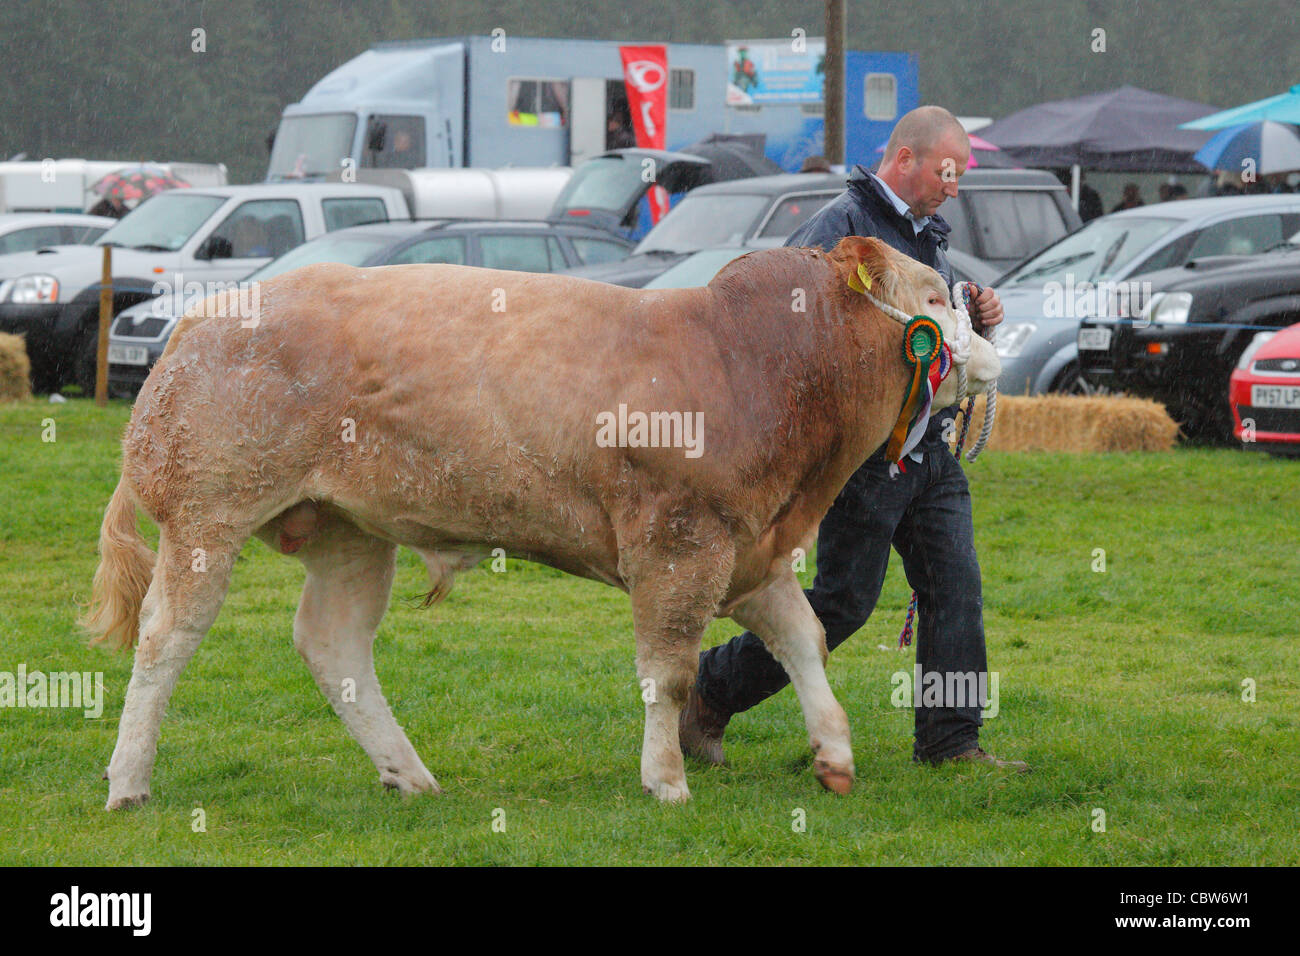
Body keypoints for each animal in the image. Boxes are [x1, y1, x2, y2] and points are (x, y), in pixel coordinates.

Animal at [82, 236, 999, 808]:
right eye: (928, 297)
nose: (992, 342)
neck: (750, 359)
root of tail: (203, 316)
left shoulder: (753, 546)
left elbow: (803, 641)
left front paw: (834, 754)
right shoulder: (680, 543)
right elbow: (670, 671)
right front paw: (666, 778)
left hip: (349, 531)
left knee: (333, 645)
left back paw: (408, 772)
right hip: (207, 514)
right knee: (166, 638)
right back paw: (127, 780)